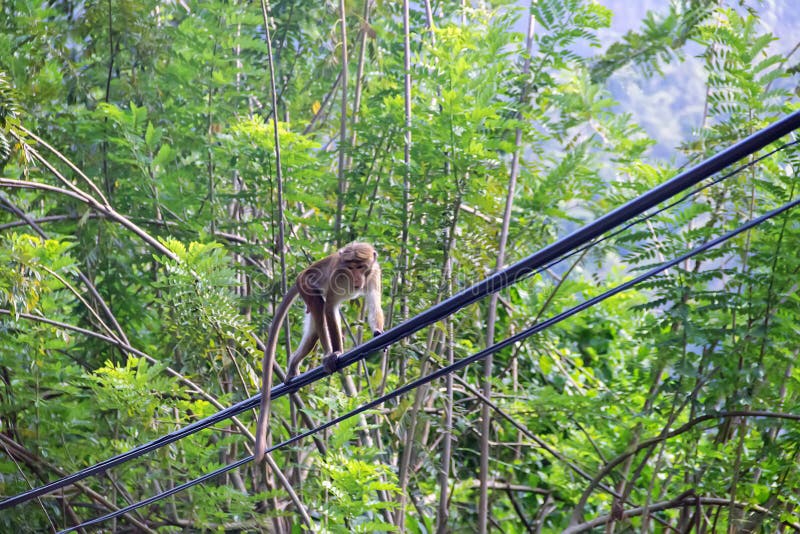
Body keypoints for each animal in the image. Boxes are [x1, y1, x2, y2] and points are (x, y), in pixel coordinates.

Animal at [254, 242, 384, 464]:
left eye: (361, 267)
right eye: (350, 267)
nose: (357, 279)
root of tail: (301, 273)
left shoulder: (374, 274)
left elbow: (374, 302)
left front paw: (378, 333)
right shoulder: (338, 275)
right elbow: (330, 308)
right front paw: (337, 351)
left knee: (313, 333)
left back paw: (293, 365)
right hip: (305, 284)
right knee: (319, 308)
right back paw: (328, 354)